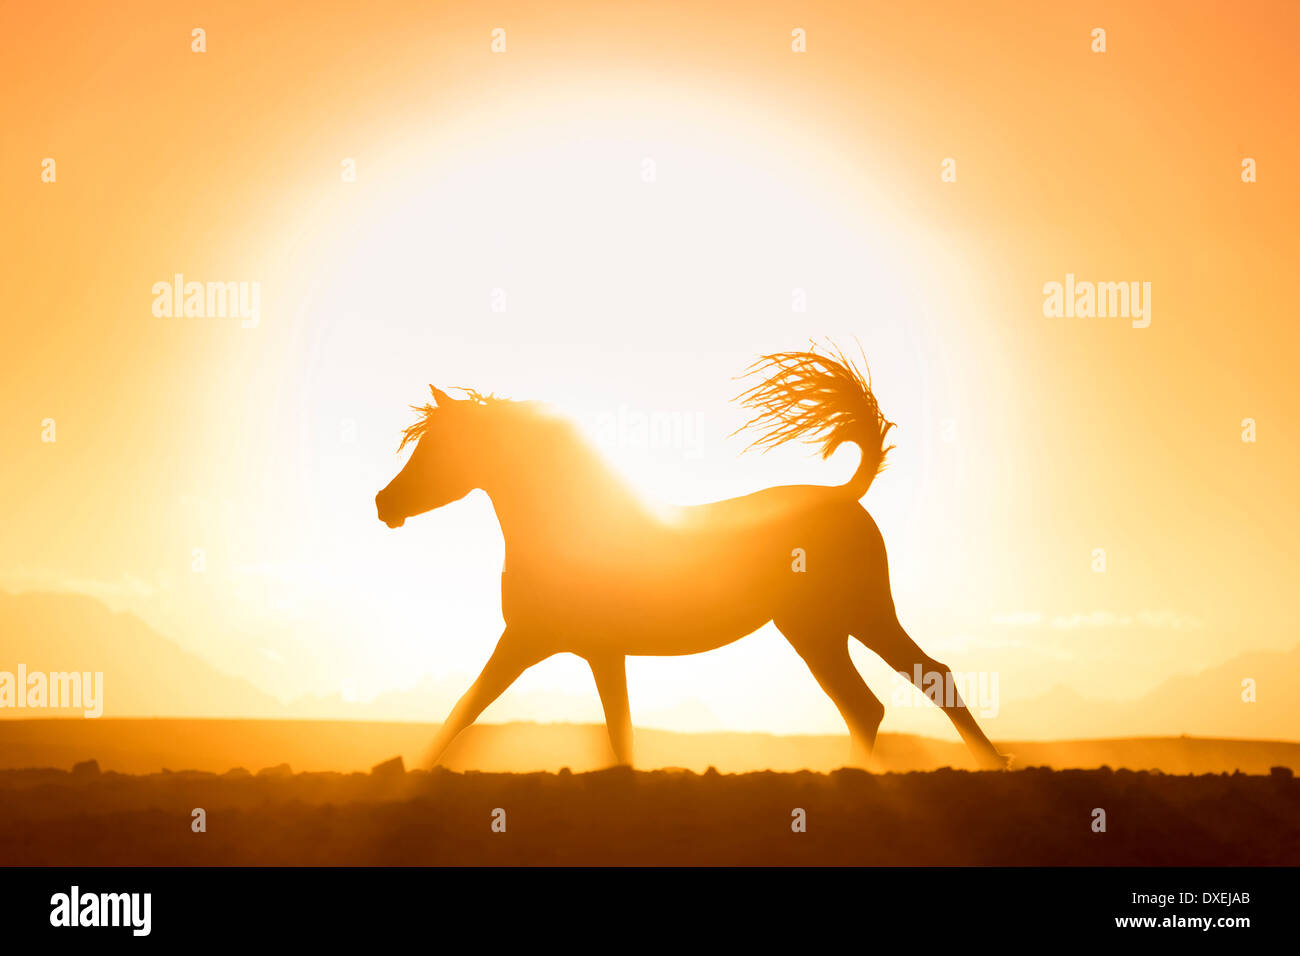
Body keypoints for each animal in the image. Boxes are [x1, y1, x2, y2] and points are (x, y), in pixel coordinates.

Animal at [375, 346, 1009, 770]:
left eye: (440, 448)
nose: (384, 503)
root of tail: (843, 495)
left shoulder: (533, 641)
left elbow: (467, 707)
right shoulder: (589, 650)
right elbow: (610, 730)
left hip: (851, 616)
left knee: (914, 687)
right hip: (820, 628)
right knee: (874, 702)